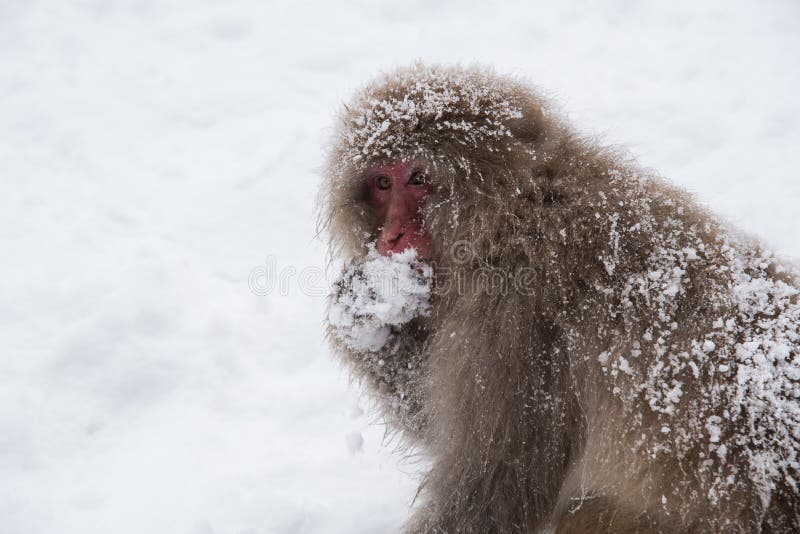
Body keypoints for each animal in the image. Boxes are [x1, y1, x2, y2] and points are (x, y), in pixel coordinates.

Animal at [319, 63, 800, 533]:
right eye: (382, 183)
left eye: (418, 178)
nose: (391, 237)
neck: (511, 217)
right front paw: (363, 315)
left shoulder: (514, 316)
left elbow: (498, 483)